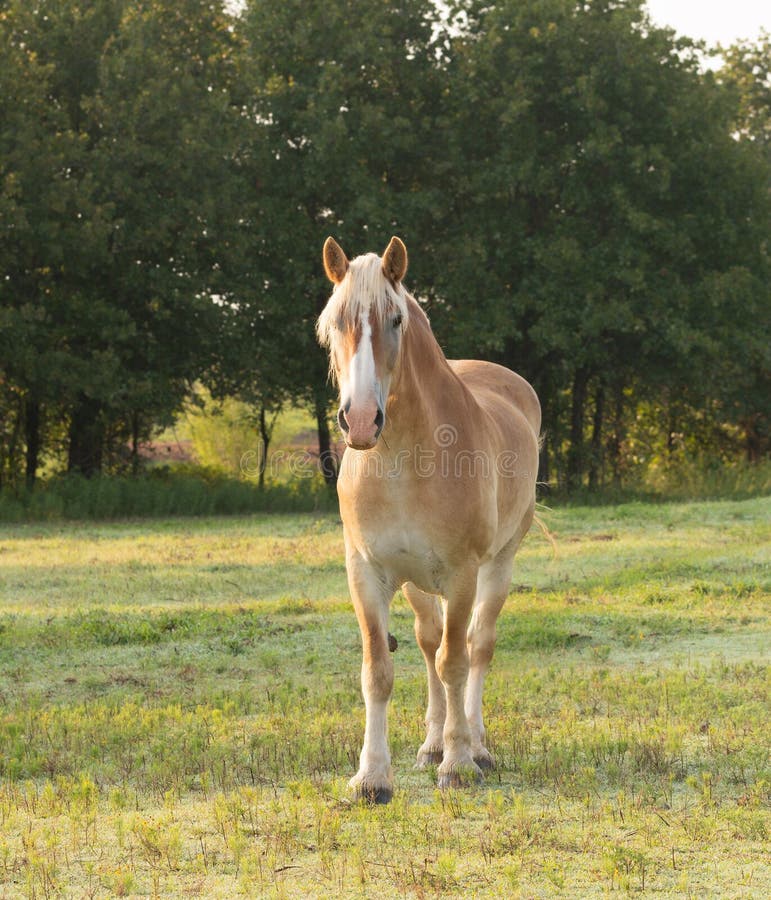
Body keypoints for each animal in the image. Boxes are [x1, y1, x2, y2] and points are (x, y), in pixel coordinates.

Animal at [317, 236, 541, 802]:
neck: (402, 459)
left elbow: (456, 661)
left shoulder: (462, 574)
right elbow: (379, 670)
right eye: (334, 321)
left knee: (476, 646)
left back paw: (476, 747)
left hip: (498, 565)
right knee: (428, 641)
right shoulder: (367, 572)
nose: (360, 420)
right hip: (417, 583)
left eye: (395, 320)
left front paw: (459, 765)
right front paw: (372, 777)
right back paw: (432, 744)